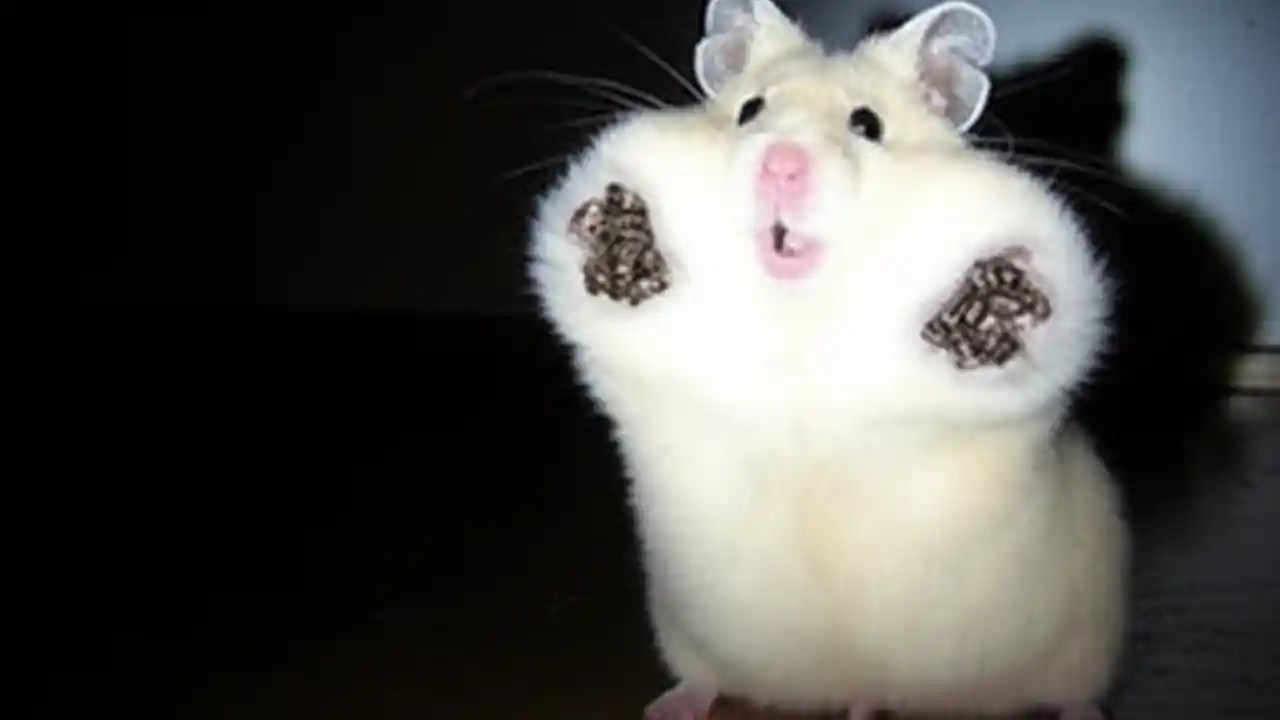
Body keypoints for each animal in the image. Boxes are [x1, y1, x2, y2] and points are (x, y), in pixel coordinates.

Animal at [526, 1, 1129, 718]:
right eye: (750, 110)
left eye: (866, 124)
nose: (781, 164)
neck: (799, 312)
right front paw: (624, 233)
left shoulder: (1043, 340)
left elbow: (1041, 314)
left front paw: (986, 297)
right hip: (683, 635)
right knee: (707, 678)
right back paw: (670, 707)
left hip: (1083, 644)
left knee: (1072, 695)